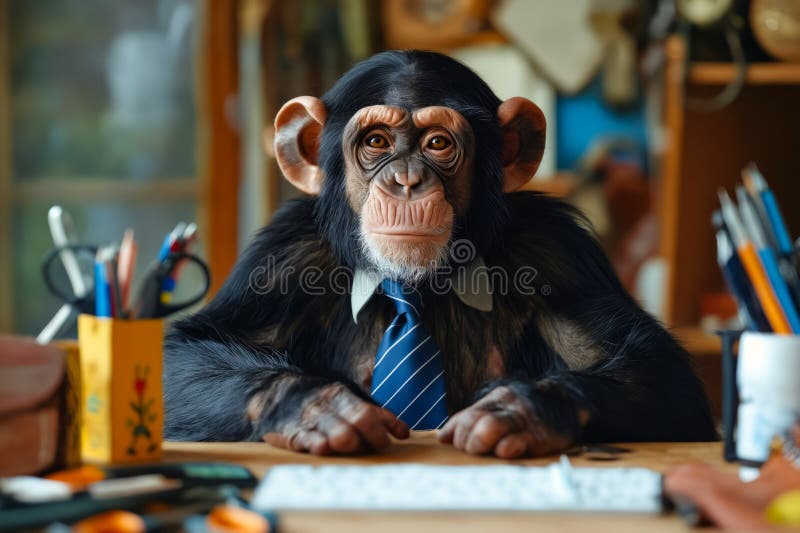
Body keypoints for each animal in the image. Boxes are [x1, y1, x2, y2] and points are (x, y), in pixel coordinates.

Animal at [164, 50, 716, 458]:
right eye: (377, 141)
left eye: (437, 143)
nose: (406, 180)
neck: (413, 284)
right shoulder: (283, 255)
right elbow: (187, 346)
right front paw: (314, 404)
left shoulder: (559, 252)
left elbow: (660, 369)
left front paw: (523, 409)